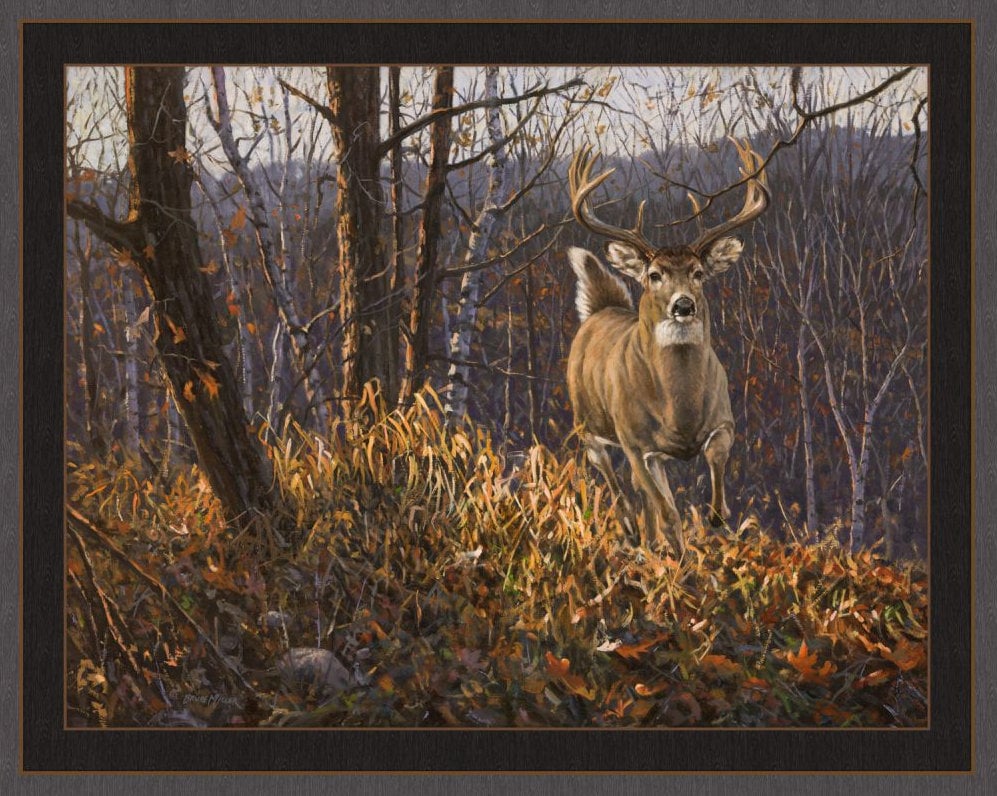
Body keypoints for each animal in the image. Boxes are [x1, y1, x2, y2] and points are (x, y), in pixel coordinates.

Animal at [566, 141, 769, 554]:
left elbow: (712, 461)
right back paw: (631, 531)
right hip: (586, 422)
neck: (679, 411)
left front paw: (717, 515)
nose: (684, 305)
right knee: (613, 476)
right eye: (655, 275)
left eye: (698, 273)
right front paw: (676, 553)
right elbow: (667, 511)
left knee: (638, 489)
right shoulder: (633, 441)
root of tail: (602, 308)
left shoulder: (724, 419)